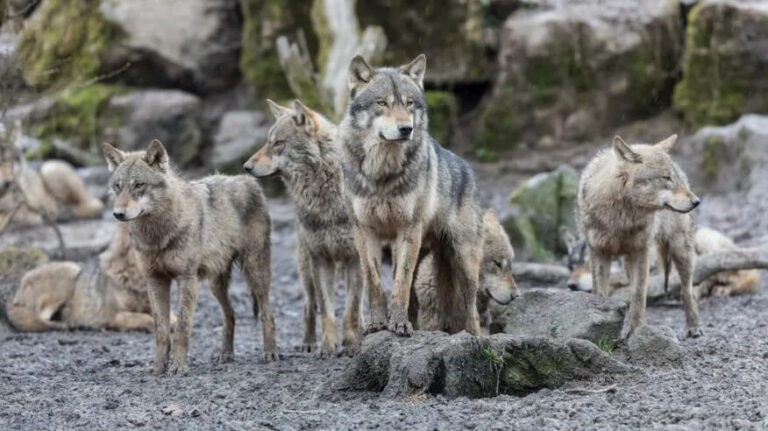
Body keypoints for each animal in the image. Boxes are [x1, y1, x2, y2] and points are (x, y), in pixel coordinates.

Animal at [102, 140, 276, 376]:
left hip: (255, 273)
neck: (158, 235)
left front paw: (178, 367)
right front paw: (158, 367)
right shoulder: (155, 281)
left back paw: (270, 354)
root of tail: (247, 180)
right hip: (215, 284)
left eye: (139, 185)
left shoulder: (187, 278)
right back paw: (226, 355)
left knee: (268, 313)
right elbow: (161, 330)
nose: (118, 214)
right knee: (230, 315)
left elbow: (182, 327)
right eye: (118, 186)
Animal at [244, 99, 363, 358]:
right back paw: (308, 343)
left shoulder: (356, 259)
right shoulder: (320, 258)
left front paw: (351, 345)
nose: (246, 167)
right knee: (310, 304)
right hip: (306, 267)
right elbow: (327, 311)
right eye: (267, 141)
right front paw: (327, 347)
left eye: (278, 143)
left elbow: (351, 310)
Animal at [339, 54, 484, 336]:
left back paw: (474, 337)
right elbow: (375, 283)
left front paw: (398, 324)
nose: (406, 129)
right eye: (382, 103)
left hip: (463, 262)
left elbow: (400, 284)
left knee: (471, 309)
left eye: (409, 104)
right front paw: (378, 324)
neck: (382, 174)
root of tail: (468, 169)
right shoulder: (364, 231)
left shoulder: (407, 230)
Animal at [577, 134, 702, 338]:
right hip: (628, 262)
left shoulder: (640, 252)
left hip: (681, 251)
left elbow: (638, 295)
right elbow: (599, 292)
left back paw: (693, 326)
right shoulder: (598, 252)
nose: (697, 201)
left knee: (687, 290)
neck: (620, 218)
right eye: (666, 178)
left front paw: (634, 329)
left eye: (674, 178)